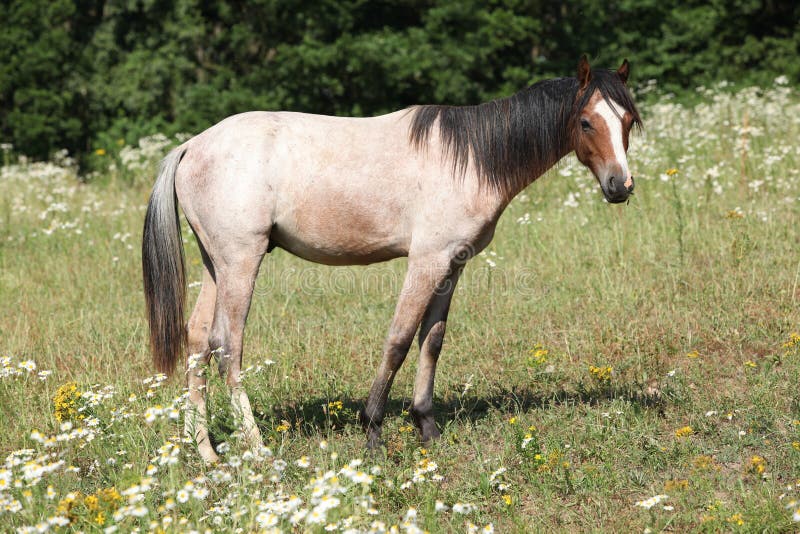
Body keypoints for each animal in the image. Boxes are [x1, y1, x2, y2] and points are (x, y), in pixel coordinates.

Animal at [142, 56, 641, 463]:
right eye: (586, 122)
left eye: (627, 121)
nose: (621, 186)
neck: (470, 159)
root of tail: (191, 146)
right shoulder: (426, 261)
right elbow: (399, 340)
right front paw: (373, 431)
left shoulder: (452, 264)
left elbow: (431, 341)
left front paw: (427, 428)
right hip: (241, 263)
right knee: (228, 347)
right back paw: (257, 448)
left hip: (216, 264)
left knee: (198, 340)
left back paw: (206, 452)